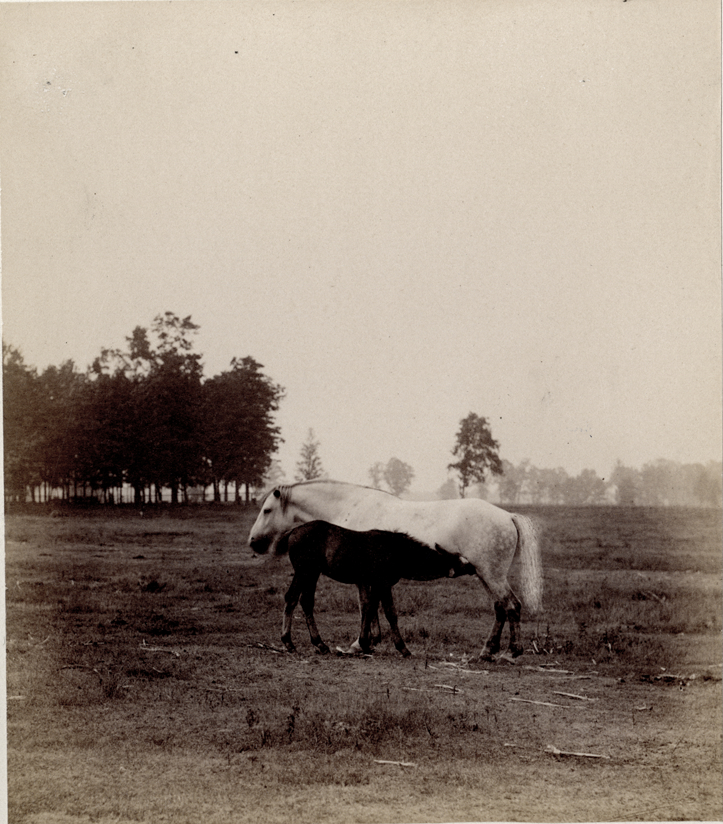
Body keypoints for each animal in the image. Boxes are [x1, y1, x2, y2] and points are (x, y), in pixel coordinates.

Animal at [257, 519, 476, 657]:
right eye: (461, 561)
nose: (473, 567)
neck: (399, 552)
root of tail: (292, 533)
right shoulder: (383, 582)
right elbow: (387, 612)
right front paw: (400, 647)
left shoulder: (372, 582)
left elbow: (369, 607)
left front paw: (368, 642)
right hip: (305, 571)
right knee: (292, 597)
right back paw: (289, 642)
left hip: (312, 573)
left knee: (306, 601)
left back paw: (320, 644)